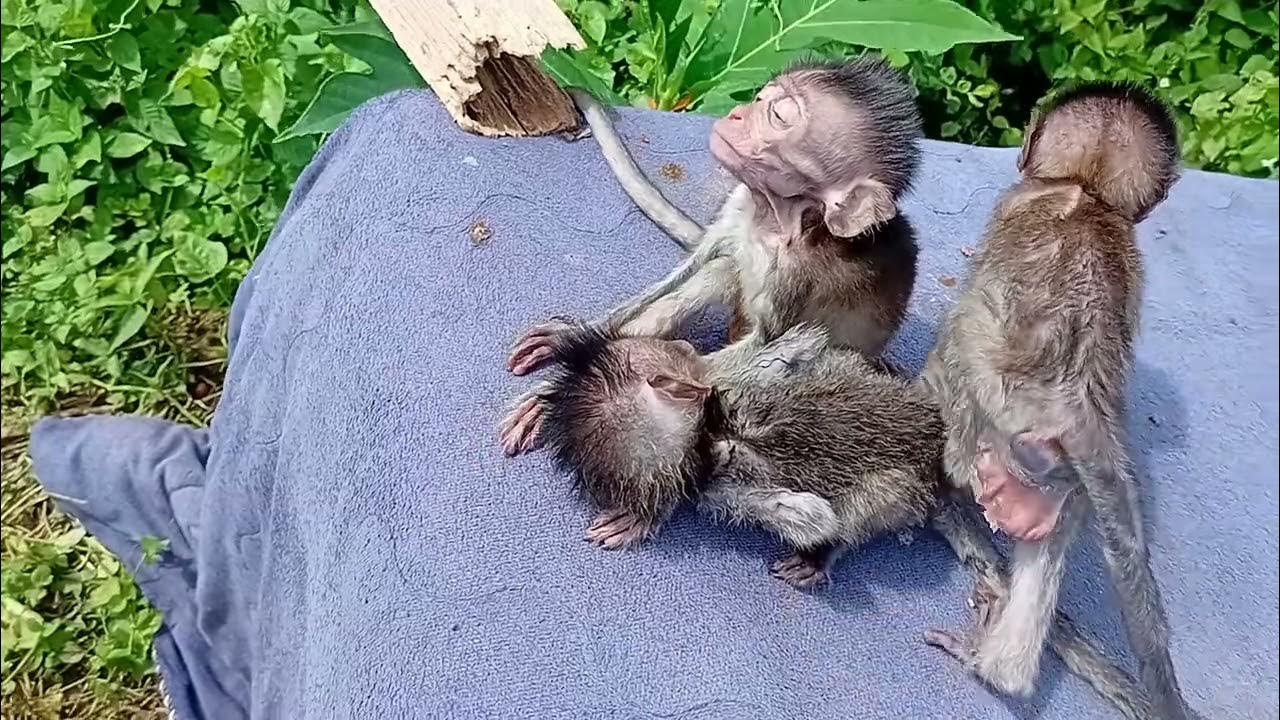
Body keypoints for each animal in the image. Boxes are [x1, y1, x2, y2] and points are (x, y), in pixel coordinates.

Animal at [507, 54, 923, 377]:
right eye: (761, 98)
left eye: (777, 115)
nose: (738, 114)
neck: (773, 222)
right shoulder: (740, 203)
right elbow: (696, 262)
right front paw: (578, 336)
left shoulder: (798, 274)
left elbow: (770, 344)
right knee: (721, 268)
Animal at [916, 81, 1195, 719]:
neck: (1085, 189)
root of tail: (1077, 407)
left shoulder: (1015, 199)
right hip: (1065, 480)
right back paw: (1002, 671)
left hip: (979, 428)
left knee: (955, 349)